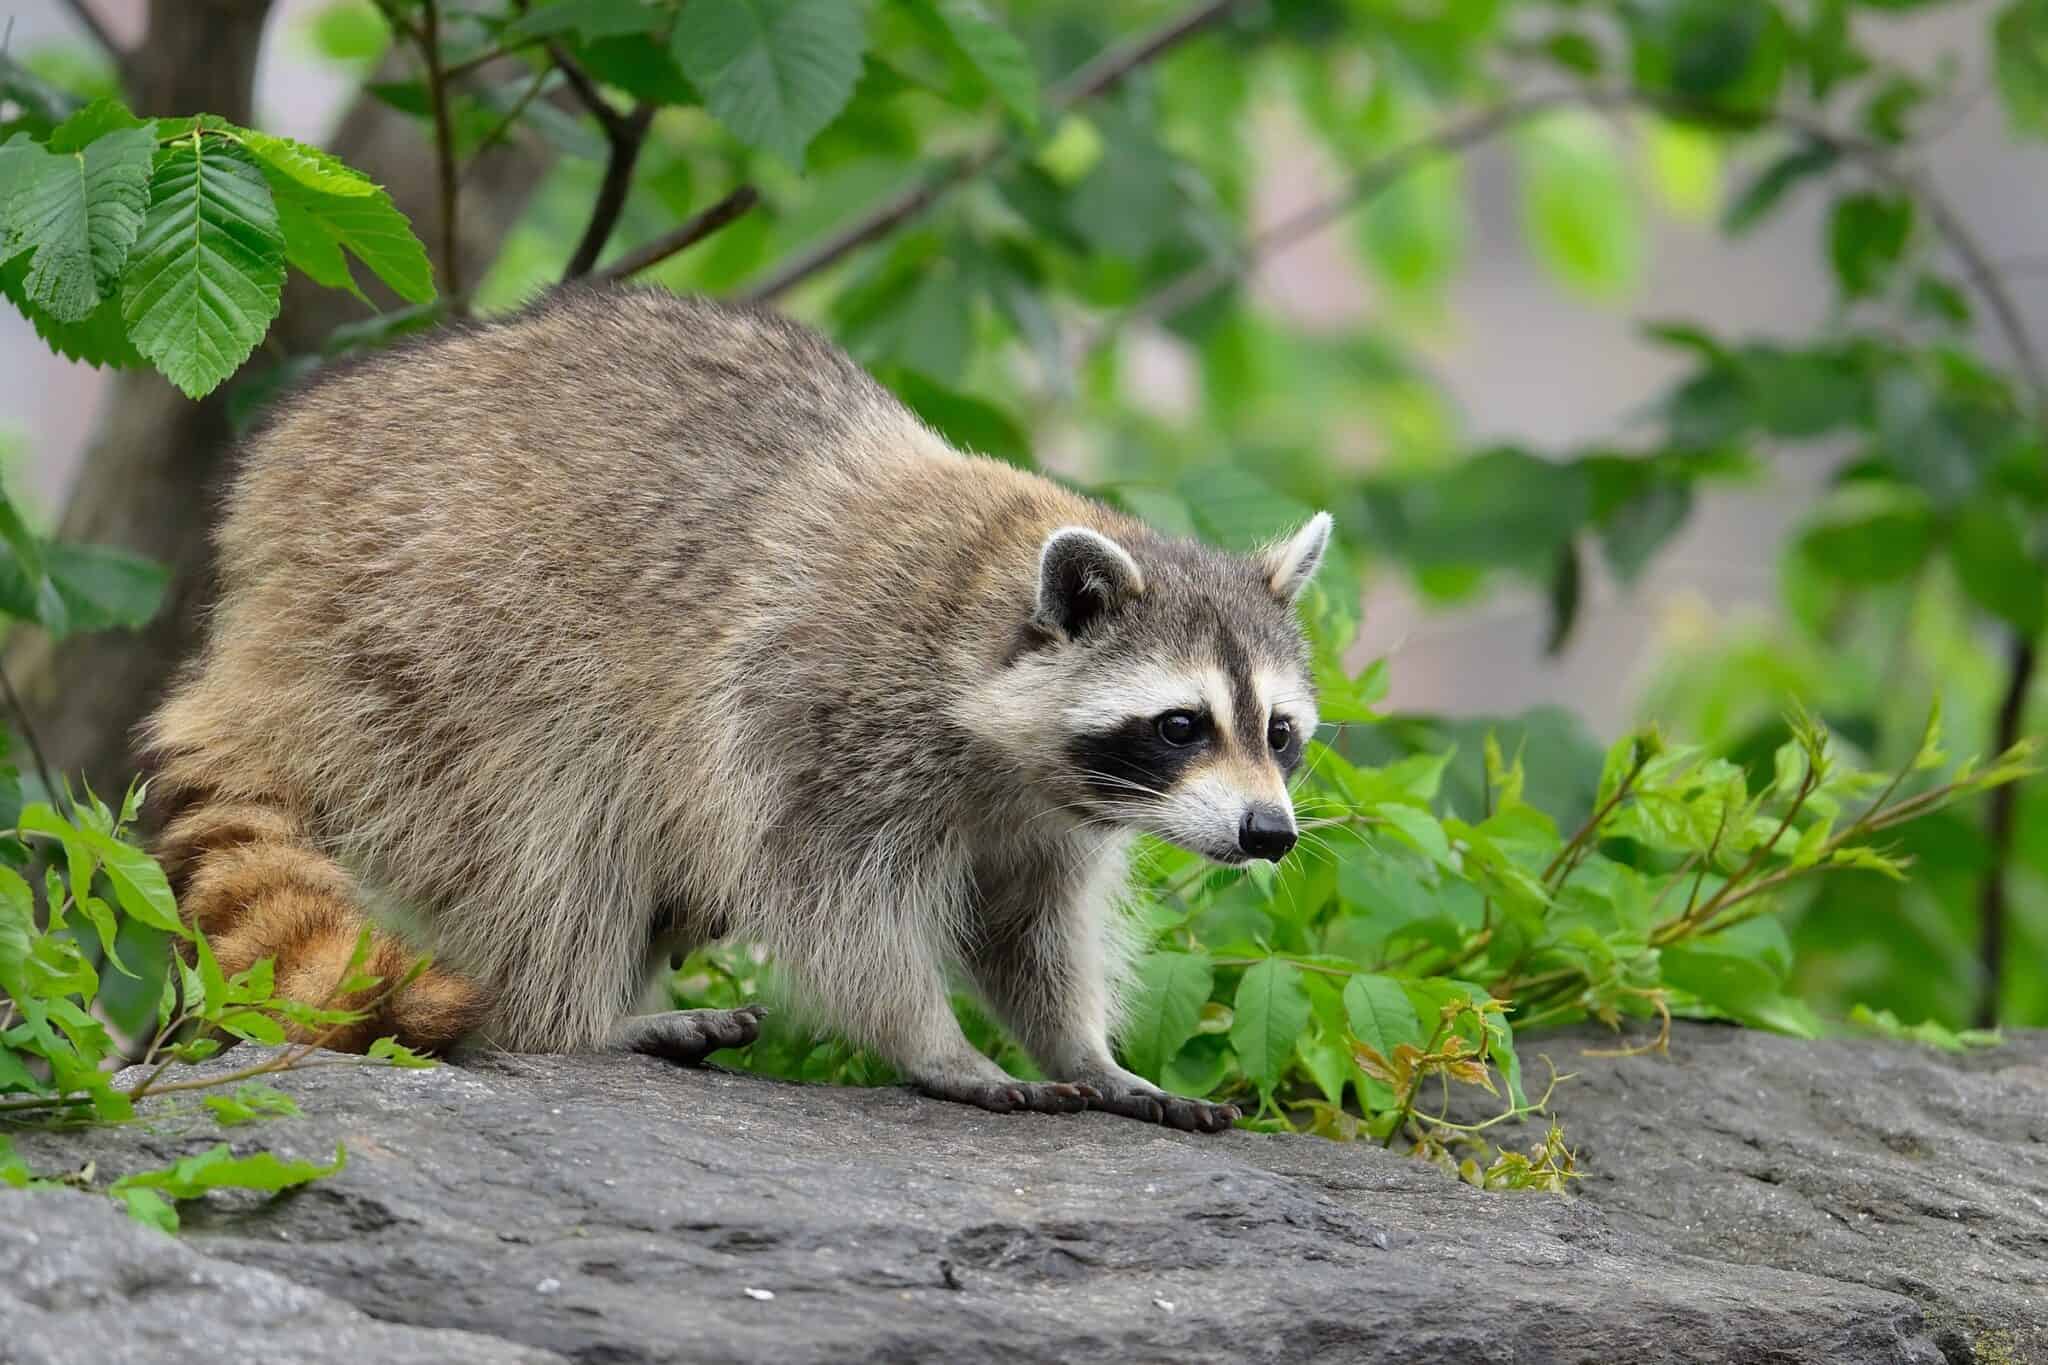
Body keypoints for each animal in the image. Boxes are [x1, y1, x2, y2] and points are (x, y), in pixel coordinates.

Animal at [143, 285, 1331, 1133]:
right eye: (1182, 725)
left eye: (1278, 733)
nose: (1269, 835)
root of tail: (259, 582)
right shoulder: (818, 716)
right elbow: (837, 911)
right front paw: (936, 1046)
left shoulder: (1043, 820)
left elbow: (1027, 933)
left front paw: (1087, 1050)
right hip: (425, 647)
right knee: (549, 827)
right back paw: (570, 1021)